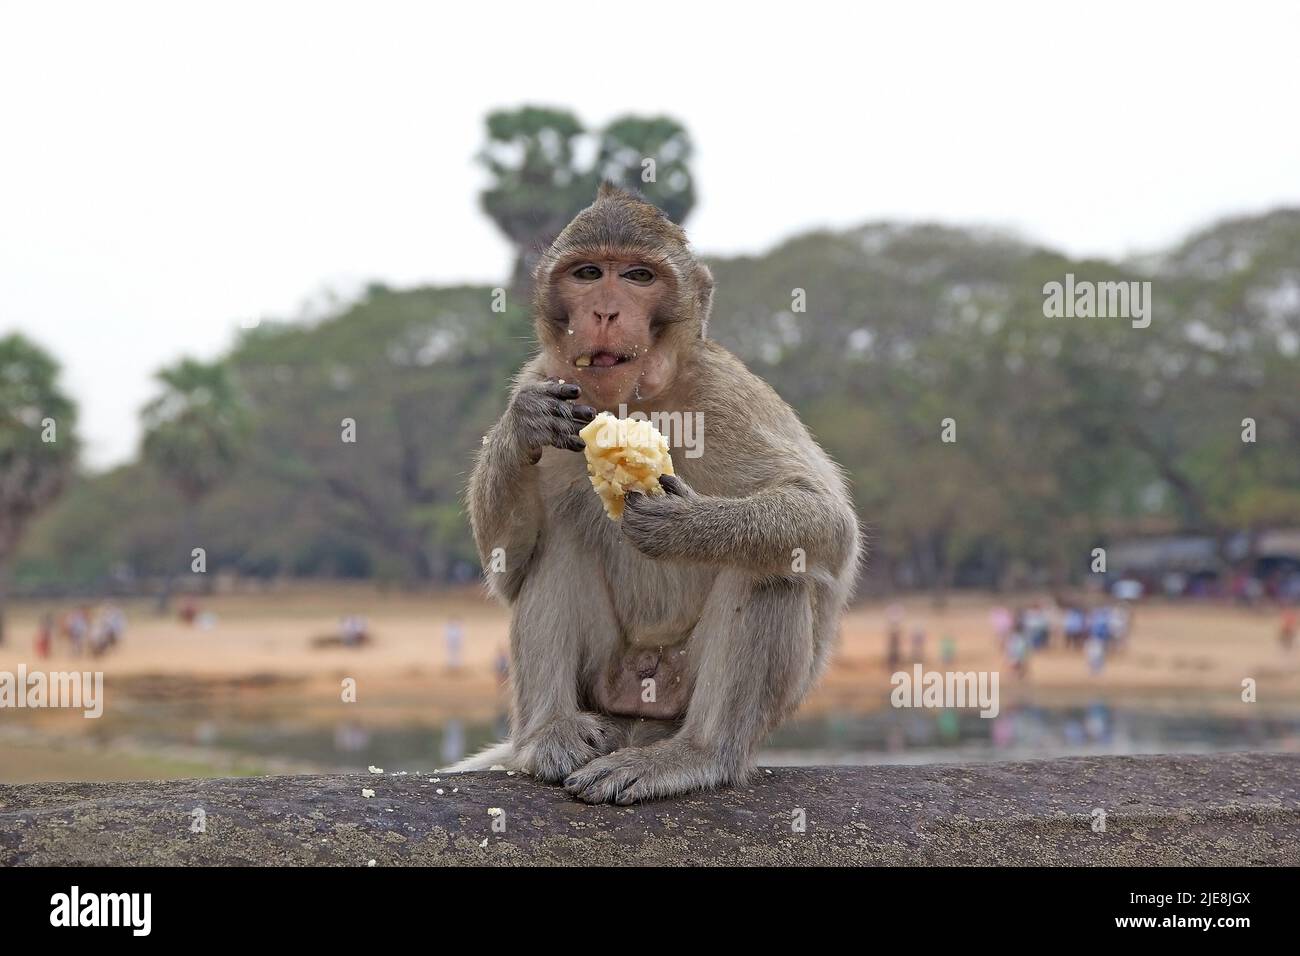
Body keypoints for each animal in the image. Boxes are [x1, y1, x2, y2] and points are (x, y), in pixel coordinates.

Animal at [450, 182, 862, 804]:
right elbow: (507, 567)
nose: (605, 311)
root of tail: (637, 715)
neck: (637, 401)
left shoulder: (726, 394)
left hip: (682, 691)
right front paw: (523, 426)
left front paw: (682, 525)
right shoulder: (542, 376)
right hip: (607, 683)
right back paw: (550, 734)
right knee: (557, 544)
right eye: (589, 273)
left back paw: (696, 755)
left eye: (639, 276)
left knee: (774, 565)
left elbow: (829, 523)